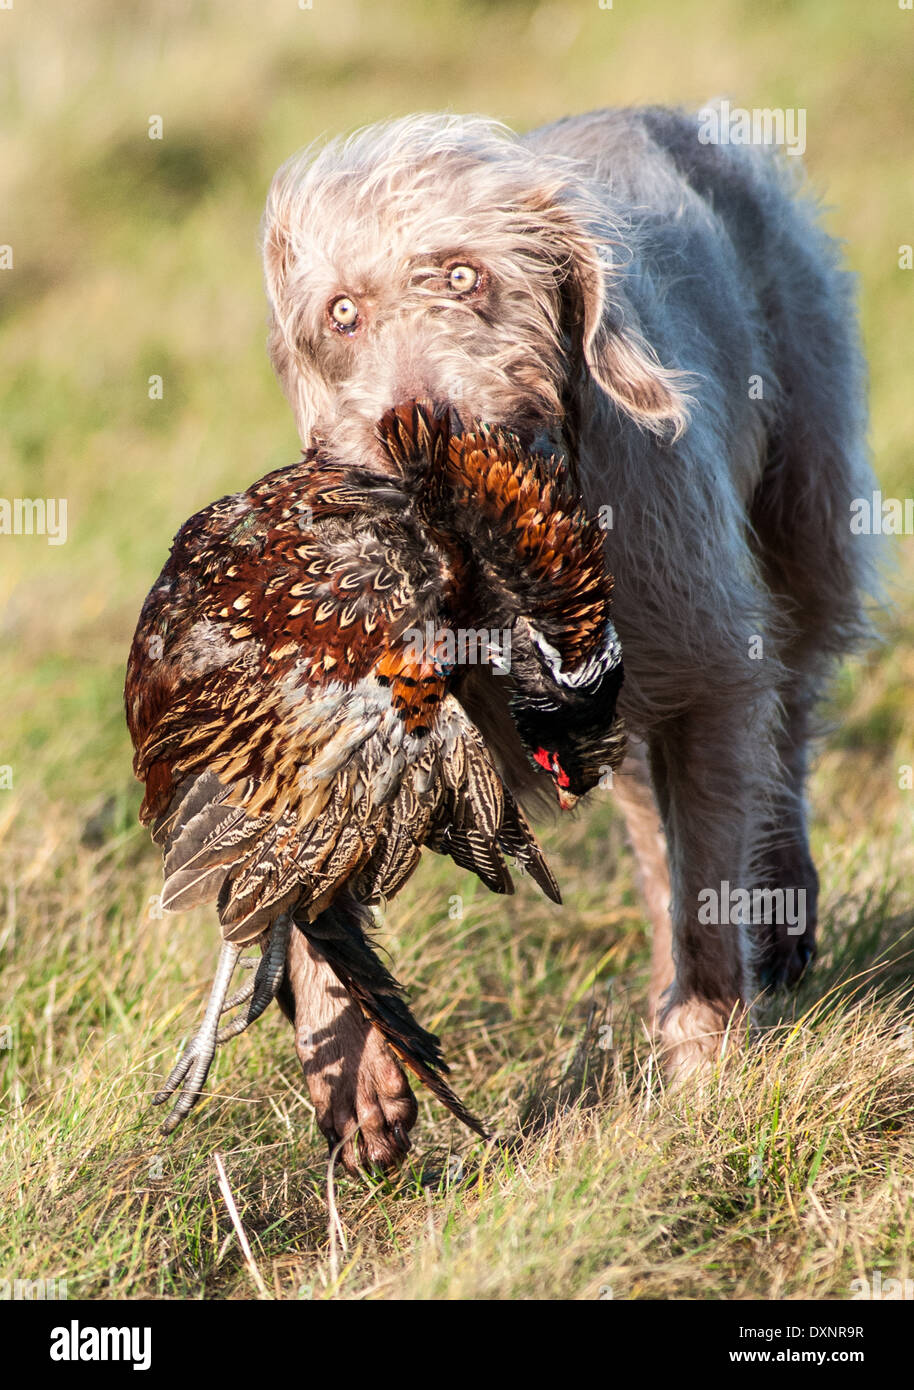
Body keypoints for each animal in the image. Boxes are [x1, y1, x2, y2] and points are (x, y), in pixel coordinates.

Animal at [255, 105, 877, 1150]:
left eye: (466, 278)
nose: (404, 426)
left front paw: (707, 1052)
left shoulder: (707, 672)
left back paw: (780, 898)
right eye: (342, 313)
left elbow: (706, 888)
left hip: (808, 507)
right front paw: (354, 1066)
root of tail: (665, 115)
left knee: (787, 713)